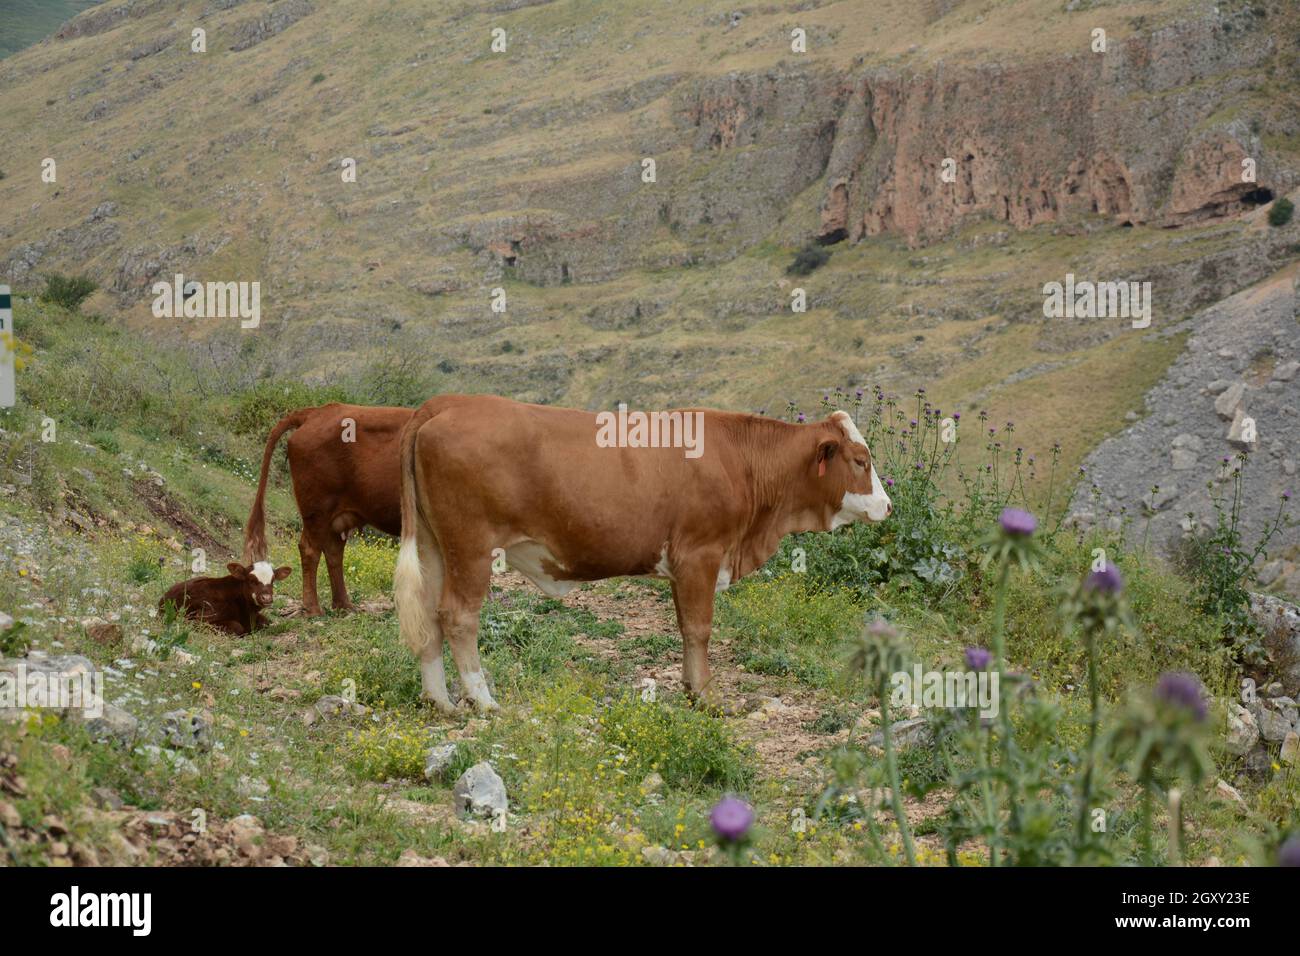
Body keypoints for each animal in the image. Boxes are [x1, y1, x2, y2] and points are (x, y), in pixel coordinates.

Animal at [159, 561, 292, 635]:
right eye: (251, 580)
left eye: (273, 581)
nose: (266, 598)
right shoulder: (201, 618)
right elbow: (237, 627)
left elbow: (266, 621)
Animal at [242, 404, 412, 615]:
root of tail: (318, 411)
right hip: (318, 509)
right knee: (310, 549)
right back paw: (313, 608)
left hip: (336, 515)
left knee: (333, 551)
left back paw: (343, 605)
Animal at [393, 394, 891, 713]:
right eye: (861, 461)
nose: (887, 506)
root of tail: (447, 403)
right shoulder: (700, 555)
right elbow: (700, 628)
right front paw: (708, 697)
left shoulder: (683, 566)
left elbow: (686, 629)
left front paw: (691, 690)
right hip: (471, 547)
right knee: (458, 615)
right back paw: (483, 700)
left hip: (435, 547)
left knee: (429, 615)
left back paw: (441, 700)